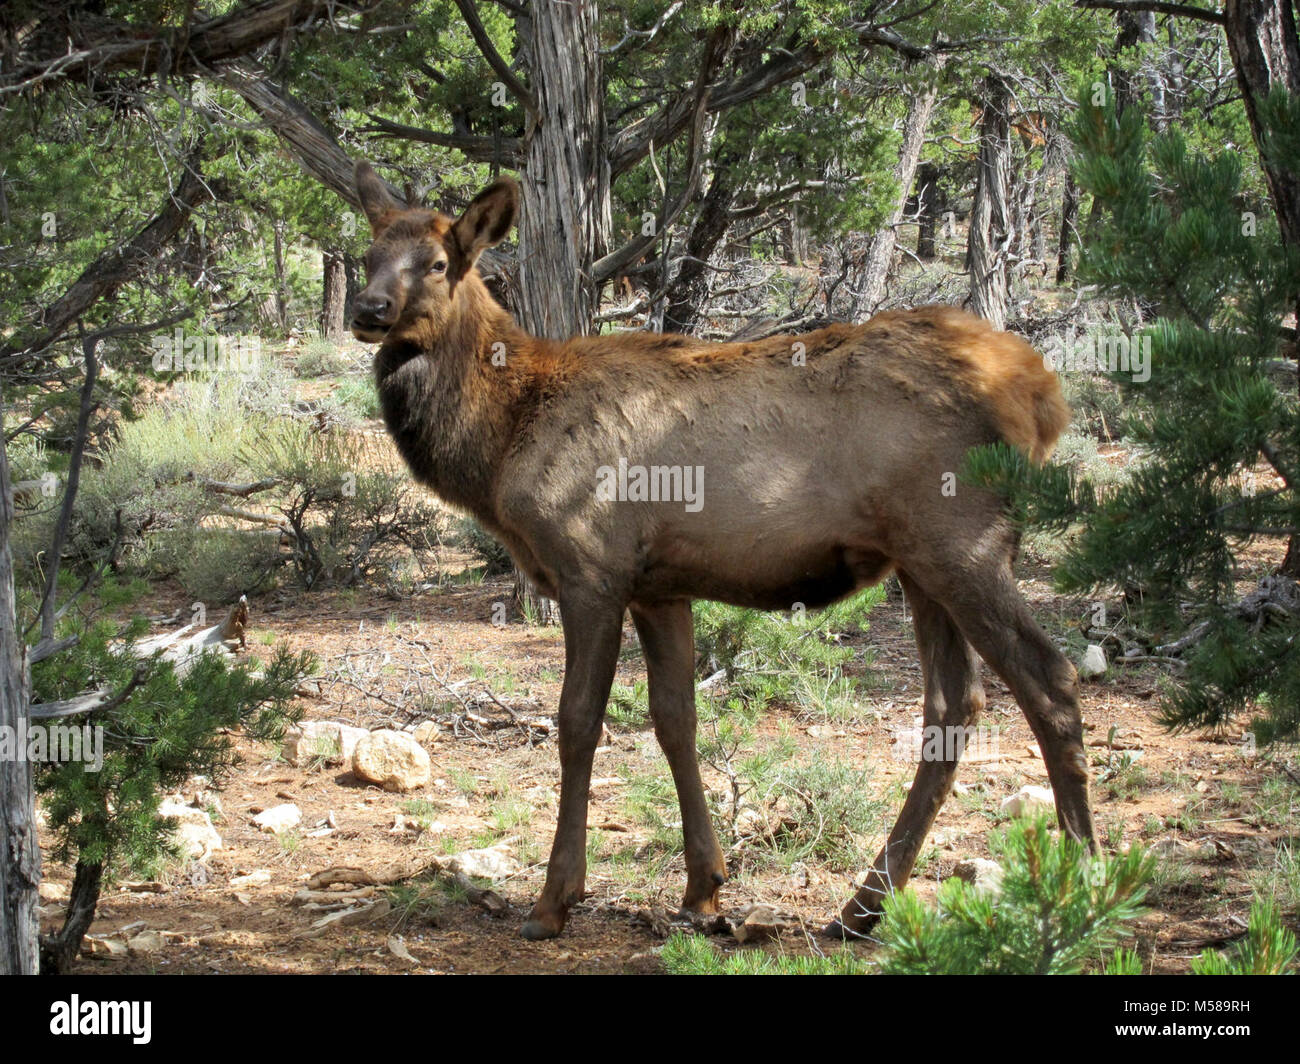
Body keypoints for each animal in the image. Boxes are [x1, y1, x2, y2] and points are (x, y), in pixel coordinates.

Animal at [349, 160, 1097, 941]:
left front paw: (555, 899)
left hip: (964, 542)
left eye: (438, 263)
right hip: (921, 561)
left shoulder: (592, 567)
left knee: (1050, 679)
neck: (497, 447)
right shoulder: (659, 586)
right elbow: (675, 719)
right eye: (366, 254)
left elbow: (577, 722)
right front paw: (704, 889)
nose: (367, 308)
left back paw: (1082, 884)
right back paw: (861, 906)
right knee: (954, 703)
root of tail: (1045, 397)